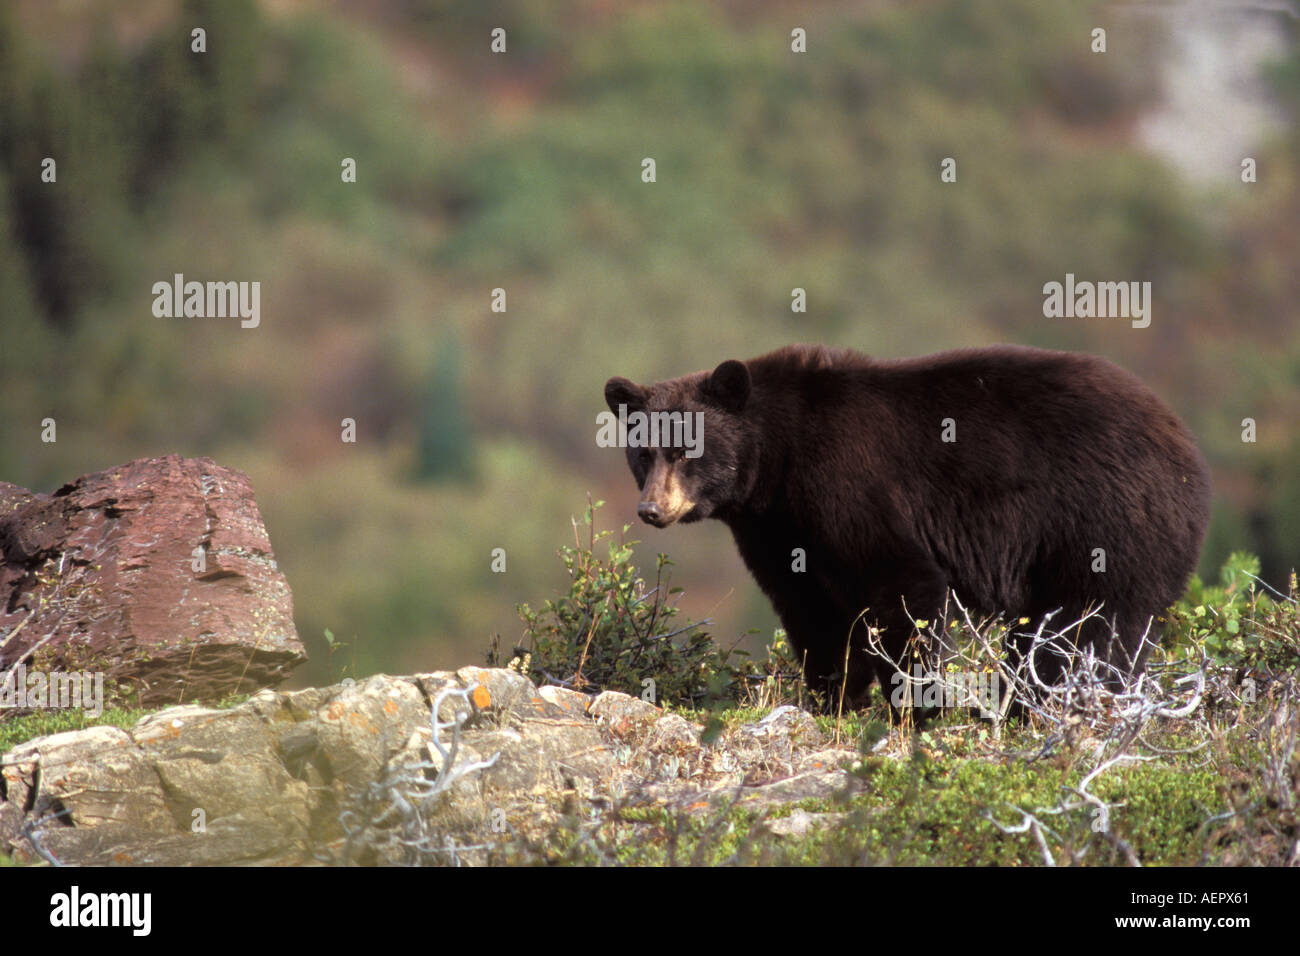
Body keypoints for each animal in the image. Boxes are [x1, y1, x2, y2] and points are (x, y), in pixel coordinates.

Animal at [604, 344, 1211, 708]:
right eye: (643, 451)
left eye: (686, 450)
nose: (651, 509)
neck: (777, 463)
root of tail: (1189, 455)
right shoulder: (780, 530)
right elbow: (811, 609)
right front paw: (834, 698)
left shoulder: (848, 483)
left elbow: (902, 582)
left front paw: (913, 705)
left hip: (1102, 525)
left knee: (1085, 632)